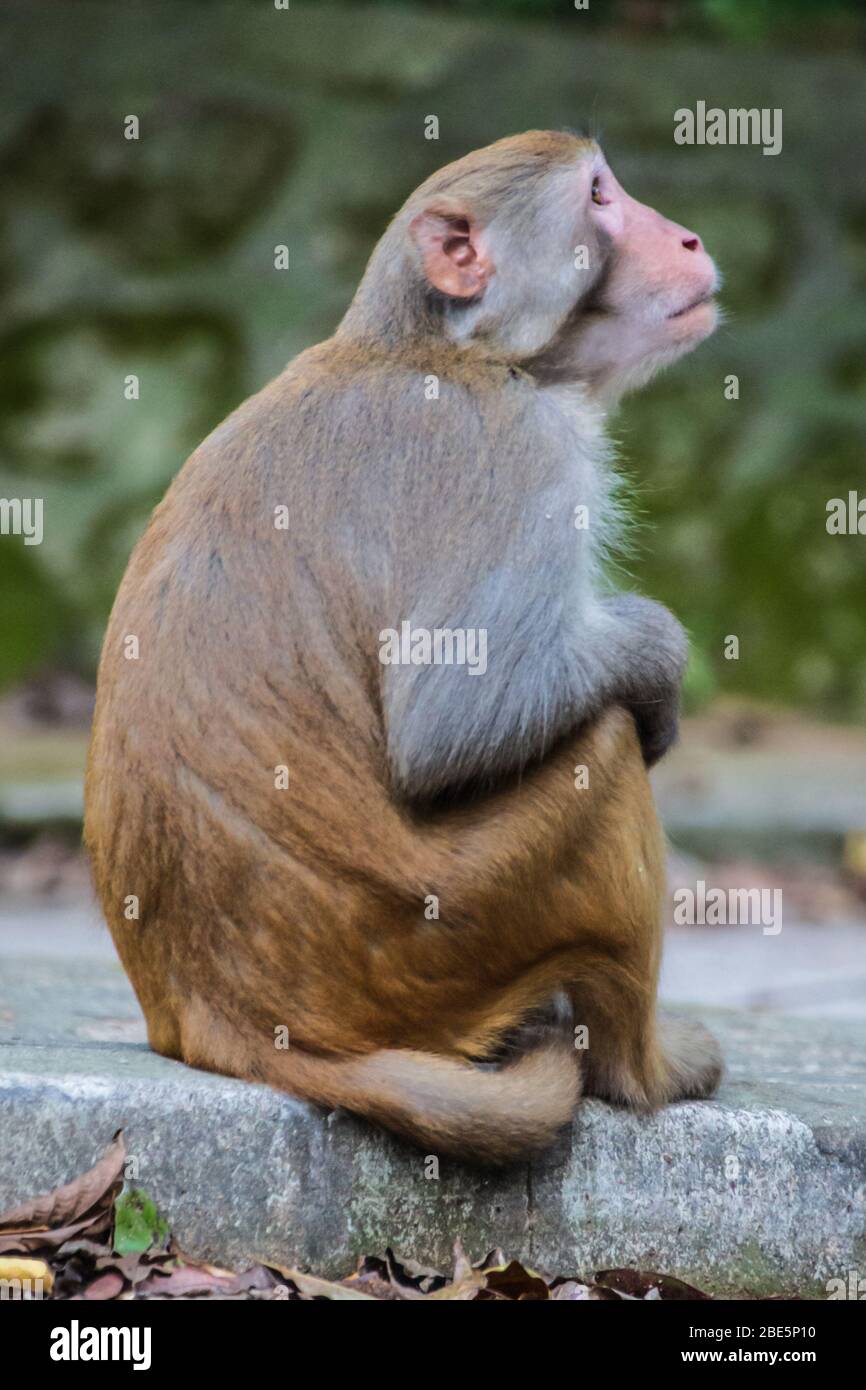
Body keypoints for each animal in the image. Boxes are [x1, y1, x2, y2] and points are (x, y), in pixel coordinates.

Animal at [85, 131, 723, 1166]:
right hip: (442, 935)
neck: (443, 346)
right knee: (601, 749)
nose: (690, 238)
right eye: (599, 197)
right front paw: (660, 660)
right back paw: (643, 1068)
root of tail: (228, 1021)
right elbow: (453, 722)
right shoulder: (517, 449)